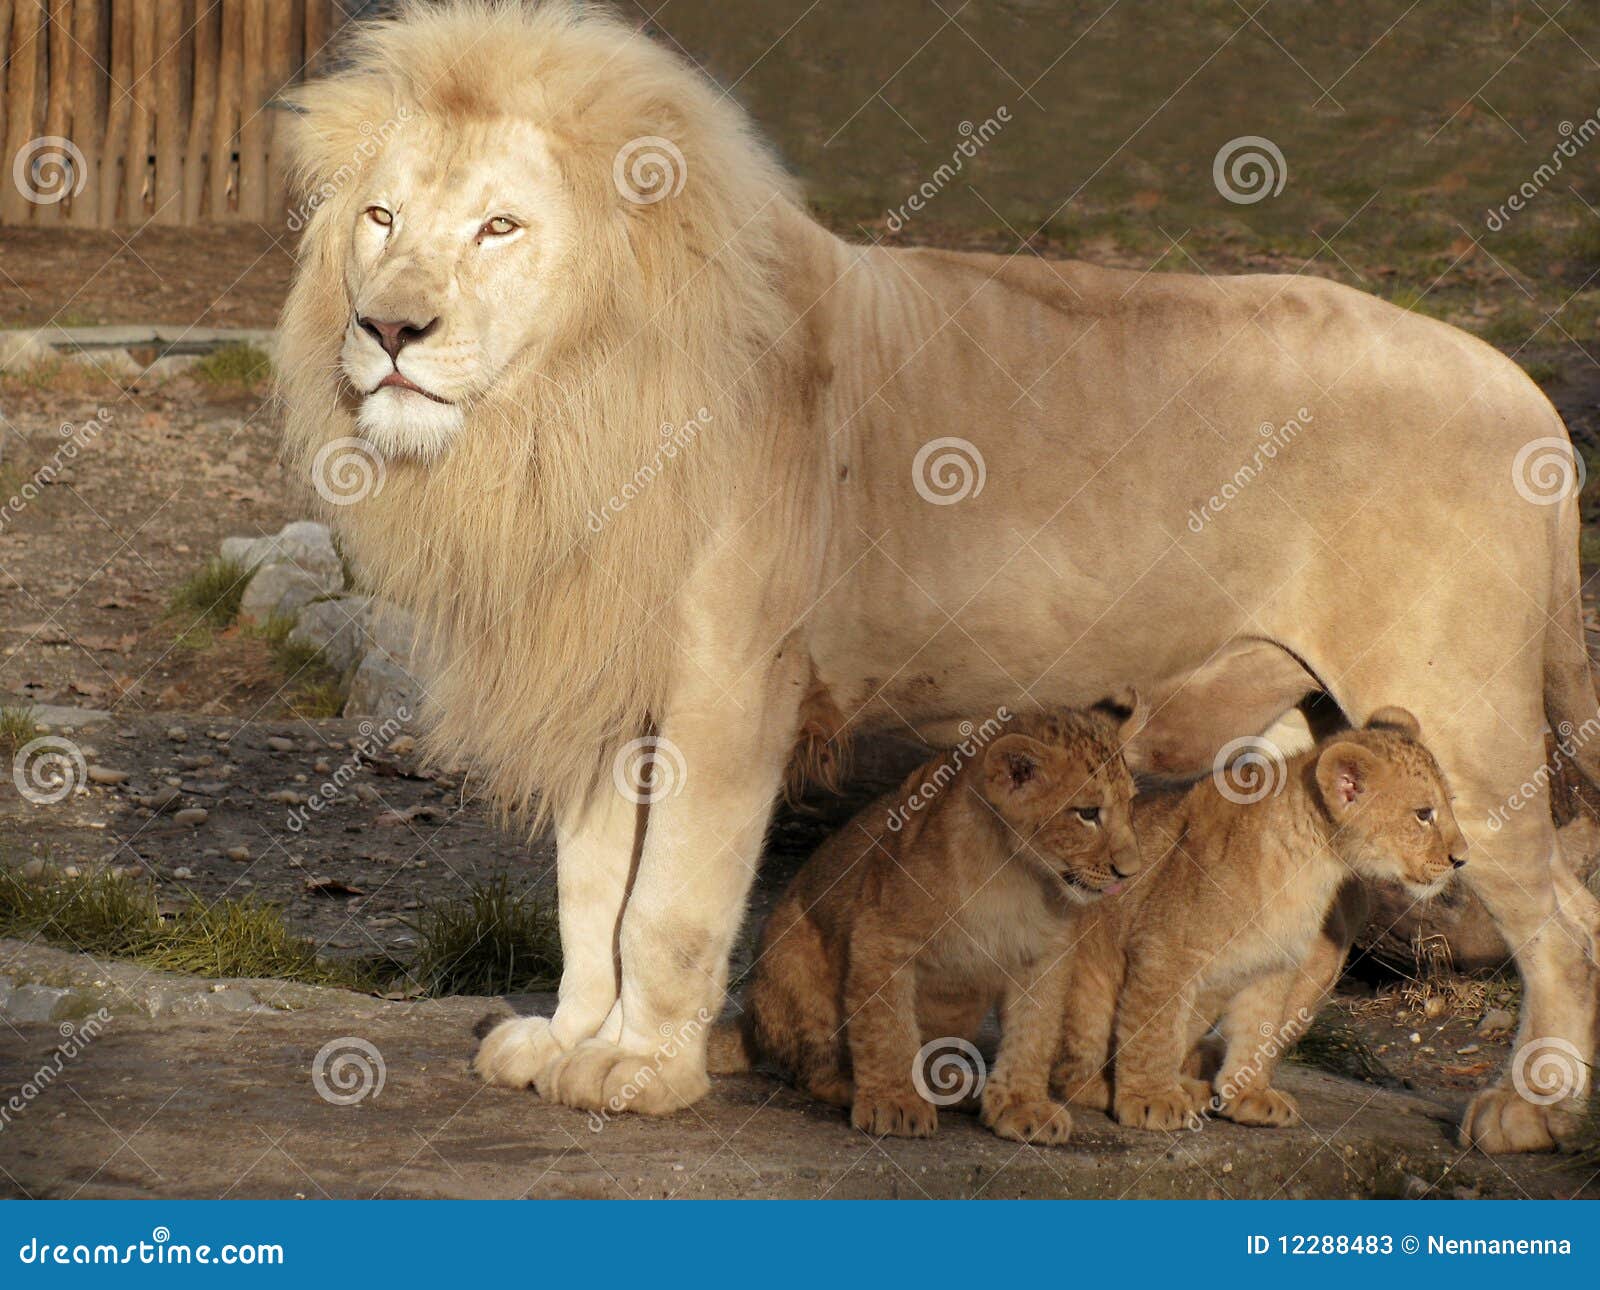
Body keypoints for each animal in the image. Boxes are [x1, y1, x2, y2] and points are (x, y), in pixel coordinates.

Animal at [709, 699, 1141, 1144]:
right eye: (1087, 814)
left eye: (1130, 806)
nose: (1131, 871)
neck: (1016, 875)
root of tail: (748, 1016)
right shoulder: (880, 934)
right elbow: (887, 1029)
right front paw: (894, 1104)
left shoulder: (1045, 957)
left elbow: (1035, 1032)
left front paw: (1023, 1105)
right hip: (794, 959)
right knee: (813, 1071)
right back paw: (854, 1086)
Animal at [1042, 709, 1465, 1132]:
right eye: (1424, 814)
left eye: (1450, 804)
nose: (1461, 858)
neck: (1311, 865)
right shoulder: (1164, 950)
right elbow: (1154, 1032)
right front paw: (1151, 1101)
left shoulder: (1273, 964)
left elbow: (1260, 1031)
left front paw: (1249, 1096)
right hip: (1087, 984)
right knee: (1068, 1074)